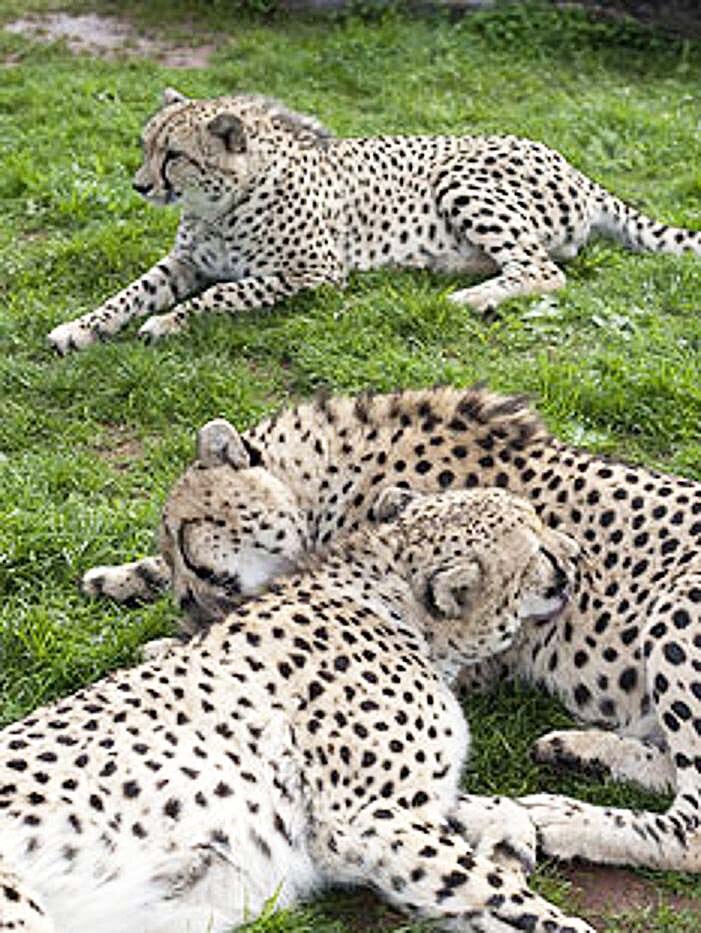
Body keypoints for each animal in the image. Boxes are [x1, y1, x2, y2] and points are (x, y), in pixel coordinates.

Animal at [0, 485, 591, 933]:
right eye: (539, 551)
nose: (577, 553)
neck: (394, 603)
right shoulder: (365, 820)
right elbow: (489, 888)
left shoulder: (394, 813)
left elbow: (482, 830)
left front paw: (513, 834)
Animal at [47, 88, 701, 354]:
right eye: (144, 147)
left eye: (174, 156)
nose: (139, 185)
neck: (223, 203)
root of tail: (571, 162)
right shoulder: (184, 261)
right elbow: (127, 294)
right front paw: (79, 328)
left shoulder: (315, 273)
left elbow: (224, 293)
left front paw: (169, 322)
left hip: (461, 178)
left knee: (544, 270)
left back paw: (470, 299)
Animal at [82, 385, 701, 874]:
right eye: (175, 550)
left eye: (190, 539)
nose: (187, 605)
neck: (322, 485)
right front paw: (120, 577)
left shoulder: (463, 645)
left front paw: (165, 642)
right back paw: (582, 752)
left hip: (676, 608)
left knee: (691, 826)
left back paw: (558, 817)